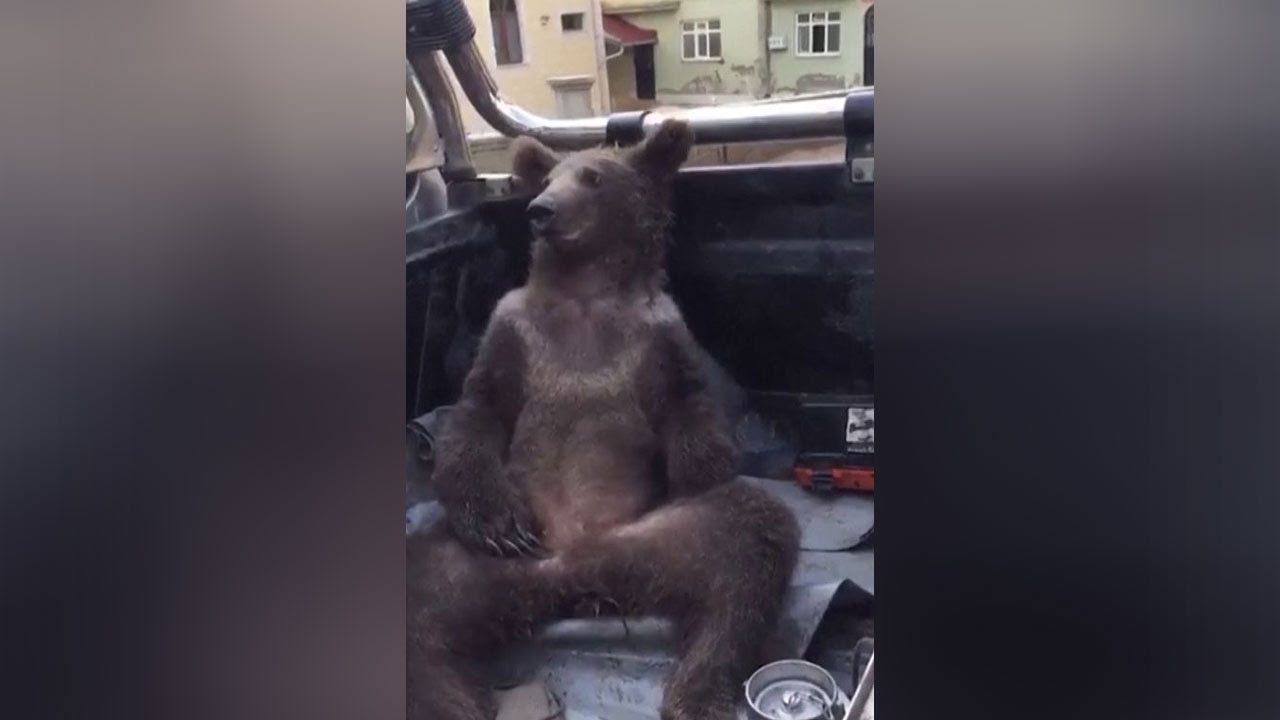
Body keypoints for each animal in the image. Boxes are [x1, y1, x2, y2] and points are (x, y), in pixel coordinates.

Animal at [407, 120, 800, 720]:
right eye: (549, 178)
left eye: (592, 177)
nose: (540, 209)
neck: (584, 292)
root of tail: (571, 579)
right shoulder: (513, 329)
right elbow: (480, 412)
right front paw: (500, 524)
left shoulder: (659, 335)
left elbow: (689, 412)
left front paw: (696, 469)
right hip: (465, 566)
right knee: (418, 611)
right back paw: (452, 703)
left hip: (656, 543)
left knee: (748, 551)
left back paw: (697, 693)